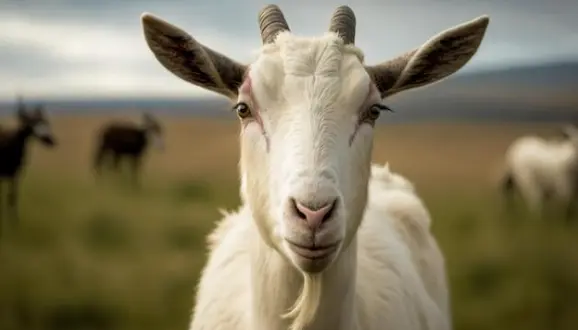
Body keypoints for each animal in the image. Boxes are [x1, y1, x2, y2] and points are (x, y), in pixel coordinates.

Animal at [0, 97, 57, 227]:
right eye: (32, 122)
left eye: (44, 121)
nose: (51, 141)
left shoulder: (15, 175)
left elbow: (13, 197)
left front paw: (14, 222)